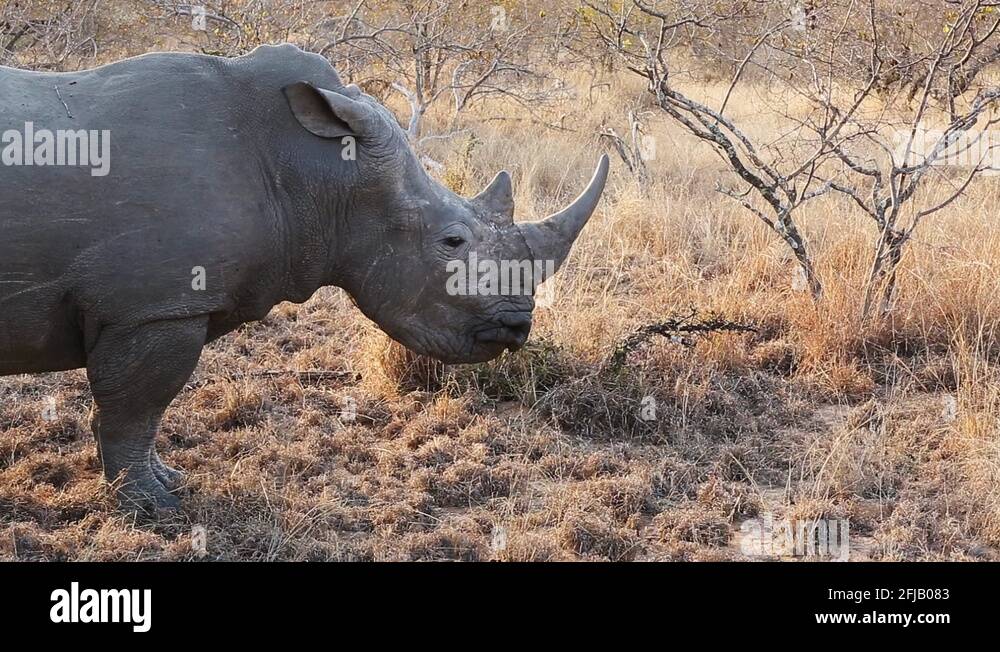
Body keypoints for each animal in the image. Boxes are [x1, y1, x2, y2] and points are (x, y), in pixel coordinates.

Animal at [0, 44, 609, 511]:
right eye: (452, 242)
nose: (516, 328)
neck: (318, 171)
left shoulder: (159, 306)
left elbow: (146, 409)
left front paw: (169, 481)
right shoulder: (154, 307)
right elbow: (136, 406)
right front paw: (153, 508)